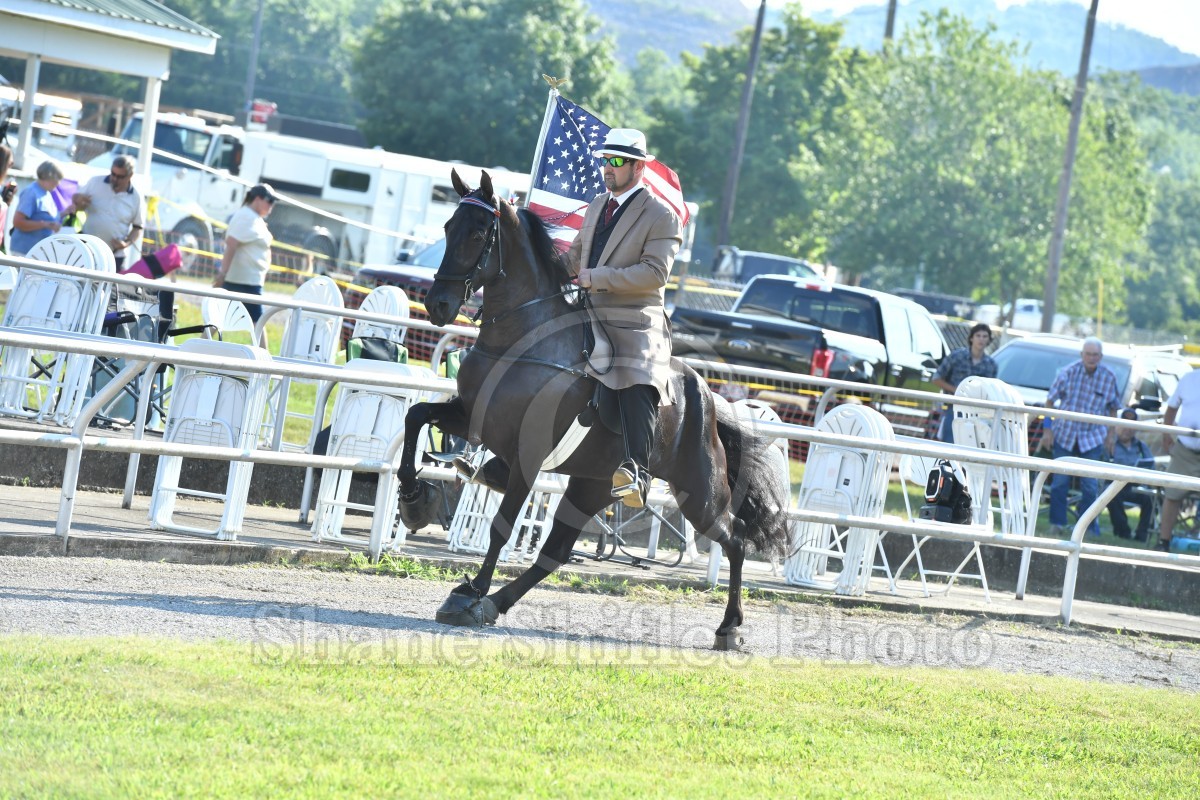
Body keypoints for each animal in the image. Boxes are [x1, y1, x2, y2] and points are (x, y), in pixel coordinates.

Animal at [397, 169, 790, 650]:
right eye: (448, 226)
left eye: (476, 233)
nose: (437, 304)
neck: (519, 340)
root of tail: (710, 397)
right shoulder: (471, 419)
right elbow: (416, 417)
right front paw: (414, 502)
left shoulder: (527, 456)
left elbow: (501, 527)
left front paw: (470, 591)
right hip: (592, 486)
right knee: (555, 553)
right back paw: (496, 603)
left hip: (698, 493)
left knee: (734, 539)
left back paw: (729, 627)